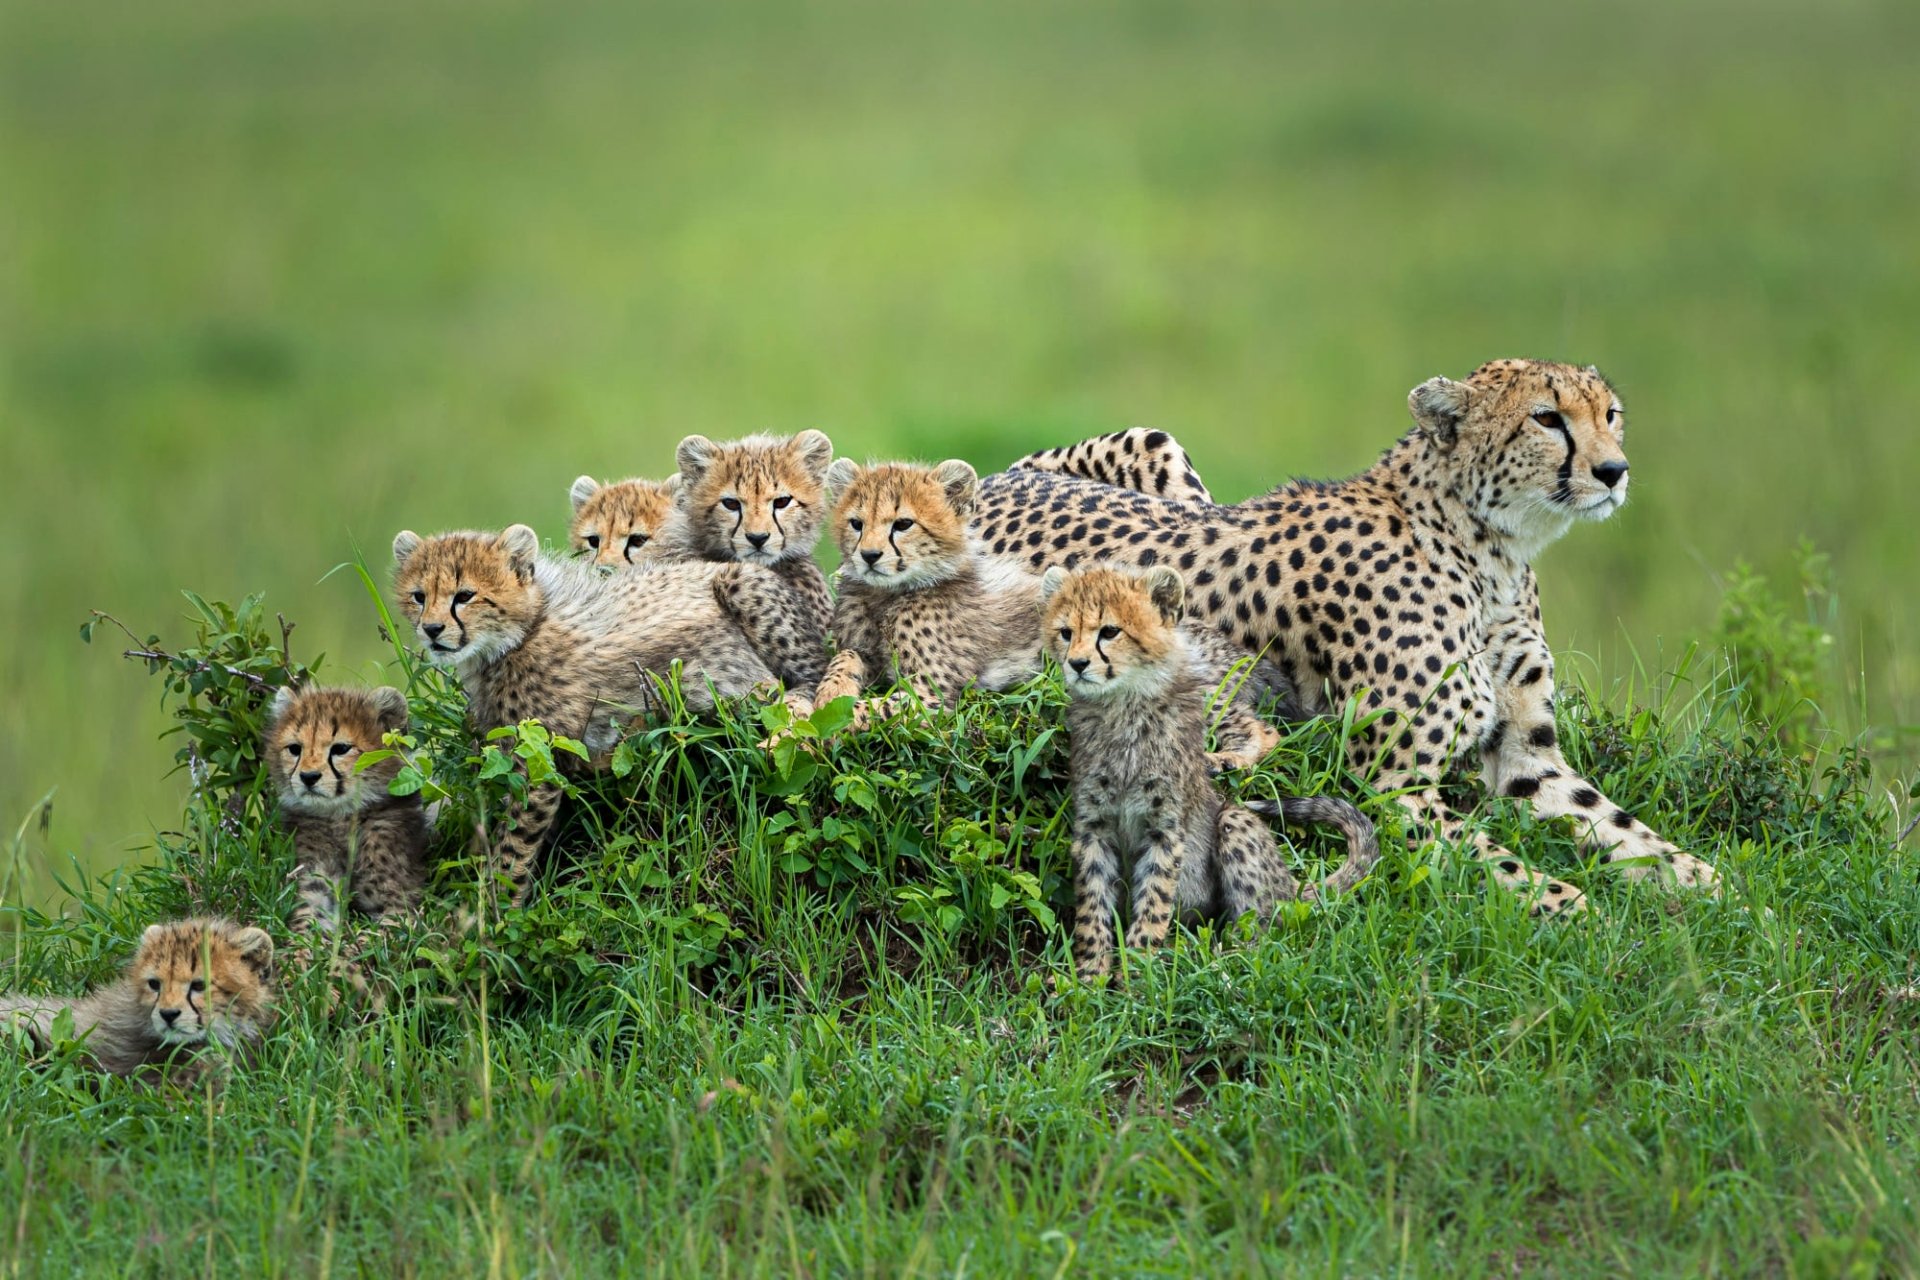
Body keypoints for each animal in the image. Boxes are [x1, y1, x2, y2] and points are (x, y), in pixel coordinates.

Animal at [266, 684, 430, 936]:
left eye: (341, 749)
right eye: (294, 749)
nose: (308, 777)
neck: (341, 816)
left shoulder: (397, 899)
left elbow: (380, 936)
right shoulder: (316, 883)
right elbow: (308, 921)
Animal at [392, 523, 789, 905]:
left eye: (464, 596)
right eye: (419, 596)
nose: (431, 630)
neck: (520, 635)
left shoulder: (539, 763)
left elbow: (513, 849)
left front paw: (497, 911)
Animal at [973, 359, 1720, 915]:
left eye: (1610, 415)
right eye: (1547, 418)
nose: (1614, 472)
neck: (1491, 551)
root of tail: (987, 479)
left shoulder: (1529, 760)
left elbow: (1627, 831)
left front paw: (1720, 893)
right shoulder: (1392, 785)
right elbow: (1503, 862)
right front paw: (1579, 911)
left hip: (1159, 447)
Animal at [1042, 564, 1379, 981]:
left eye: (1109, 631)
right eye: (1065, 632)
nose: (1076, 664)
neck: (1121, 707)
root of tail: (1291, 887)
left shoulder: (1167, 828)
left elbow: (1154, 900)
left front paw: (1137, 974)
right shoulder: (1094, 827)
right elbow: (1093, 903)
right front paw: (1089, 975)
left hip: (1236, 817)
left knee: (1259, 932)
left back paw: (1212, 963)